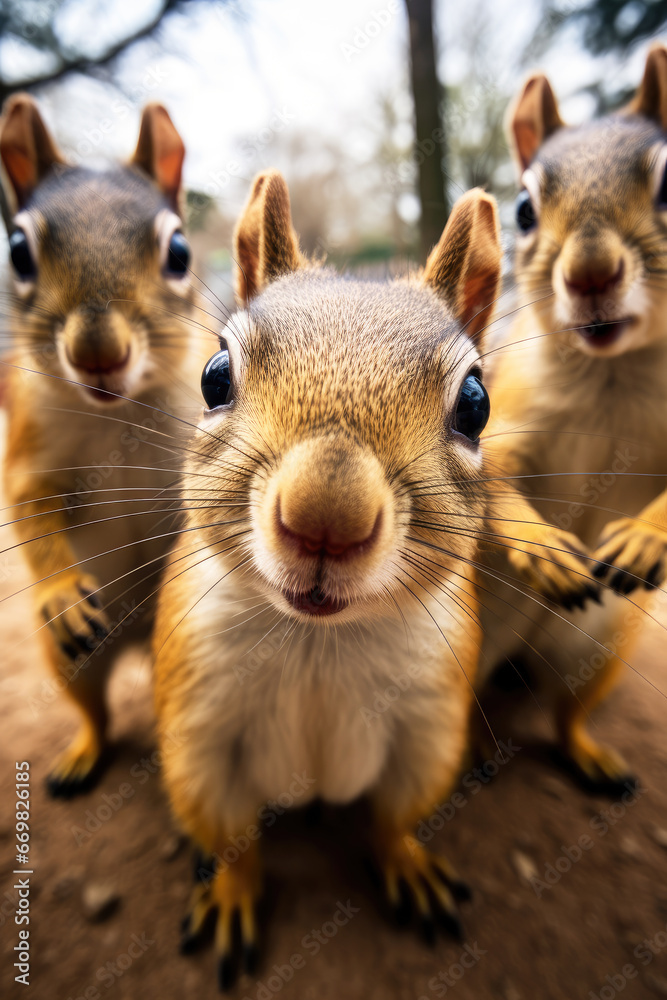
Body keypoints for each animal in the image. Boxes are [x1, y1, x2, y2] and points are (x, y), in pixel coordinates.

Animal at [0, 95, 210, 796]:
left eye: (180, 250)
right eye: (18, 251)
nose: (98, 352)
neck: (117, 415)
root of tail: (136, 641)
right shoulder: (30, 448)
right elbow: (29, 509)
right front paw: (63, 591)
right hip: (69, 660)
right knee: (94, 710)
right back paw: (81, 755)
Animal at [151, 169, 596, 990]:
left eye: (477, 403)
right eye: (214, 376)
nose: (327, 519)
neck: (318, 642)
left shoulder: (428, 731)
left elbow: (395, 816)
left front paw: (408, 865)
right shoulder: (198, 732)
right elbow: (229, 834)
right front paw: (229, 892)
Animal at [478, 43, 667, 791]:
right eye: (523, 208)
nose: (589, 274)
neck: (612, 373)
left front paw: (642, 539)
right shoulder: (506, 412)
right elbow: (495, 476)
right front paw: (542, 547)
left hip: (604, 648)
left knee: (565, 714)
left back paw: (590, 756)